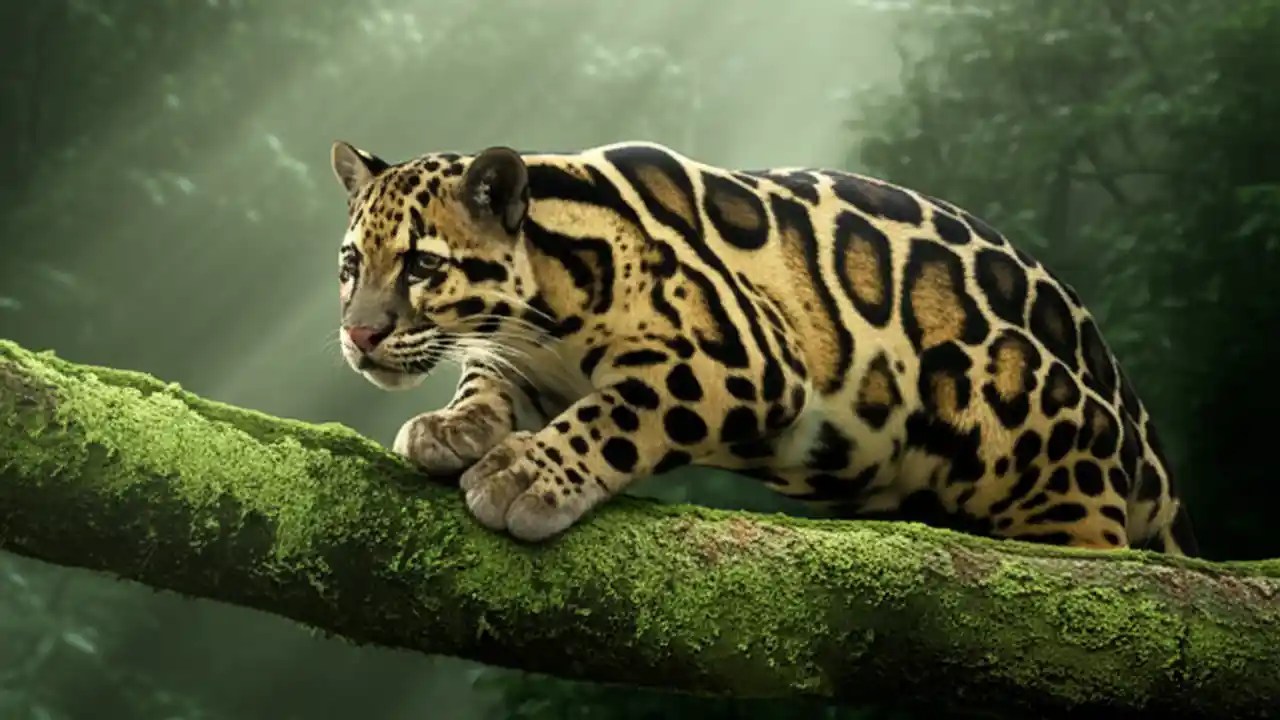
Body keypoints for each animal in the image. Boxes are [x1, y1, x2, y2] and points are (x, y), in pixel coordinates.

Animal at [328, 138, 1198, 556]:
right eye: (350, 265)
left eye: (421, 265)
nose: (359, 334)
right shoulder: (518, 358)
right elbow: (485, 382)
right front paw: (455, 426)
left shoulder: (737, 358)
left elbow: (618, 410)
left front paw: (527, 473)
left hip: (1056, 469)